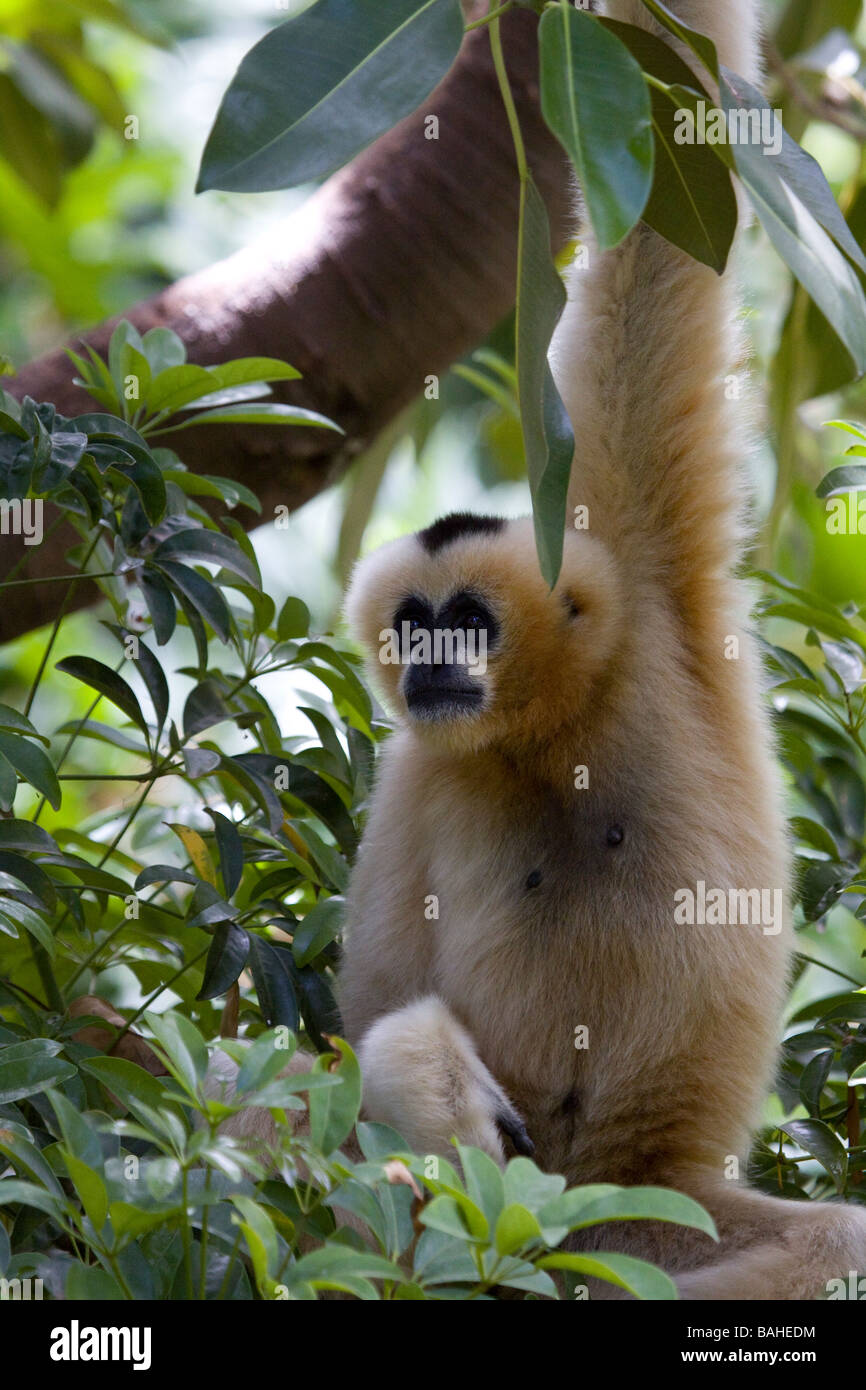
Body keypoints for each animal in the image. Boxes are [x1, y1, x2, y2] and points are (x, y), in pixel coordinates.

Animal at [336, 0, 866, 1300]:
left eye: (465, 619)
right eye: (412, 623)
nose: (428, 663)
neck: (550, 724)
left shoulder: (645, 568)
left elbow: (647, 273)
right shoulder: (411, 775)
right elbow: (370, 1012)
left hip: (650, 1216)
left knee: (824, 1239)